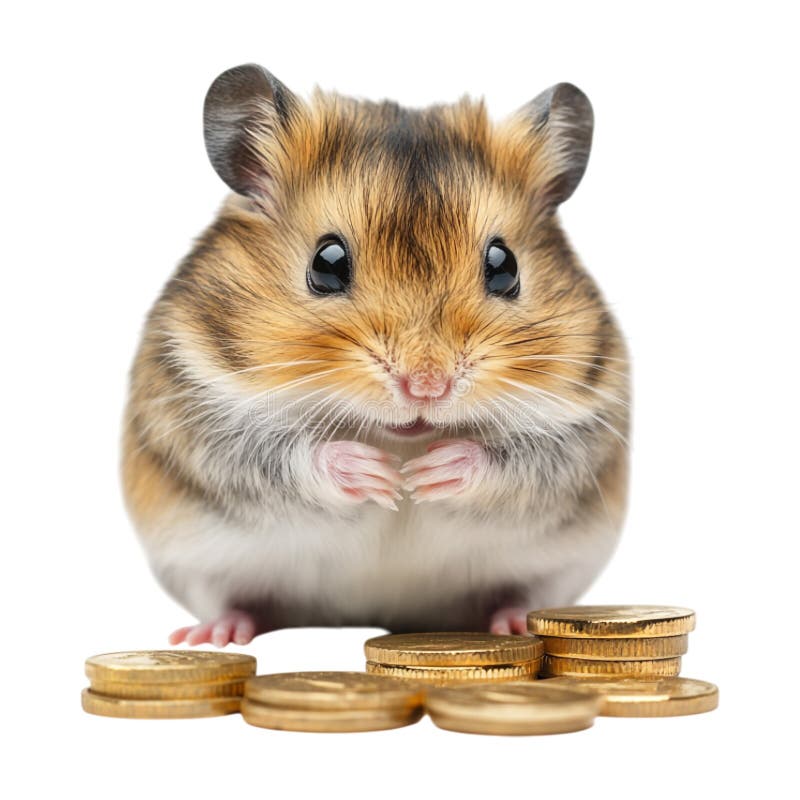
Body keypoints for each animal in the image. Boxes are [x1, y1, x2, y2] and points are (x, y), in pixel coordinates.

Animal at [121, 64, 630, 647]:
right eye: (326, 264)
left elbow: (518, 458)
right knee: (233, 600)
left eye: (505, 267)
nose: (427, 387)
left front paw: (427, 475)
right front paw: (382, 478)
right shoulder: (196, 406)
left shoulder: (587, 421)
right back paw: (213, 635)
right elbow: (285, 453)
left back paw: (515, 621)